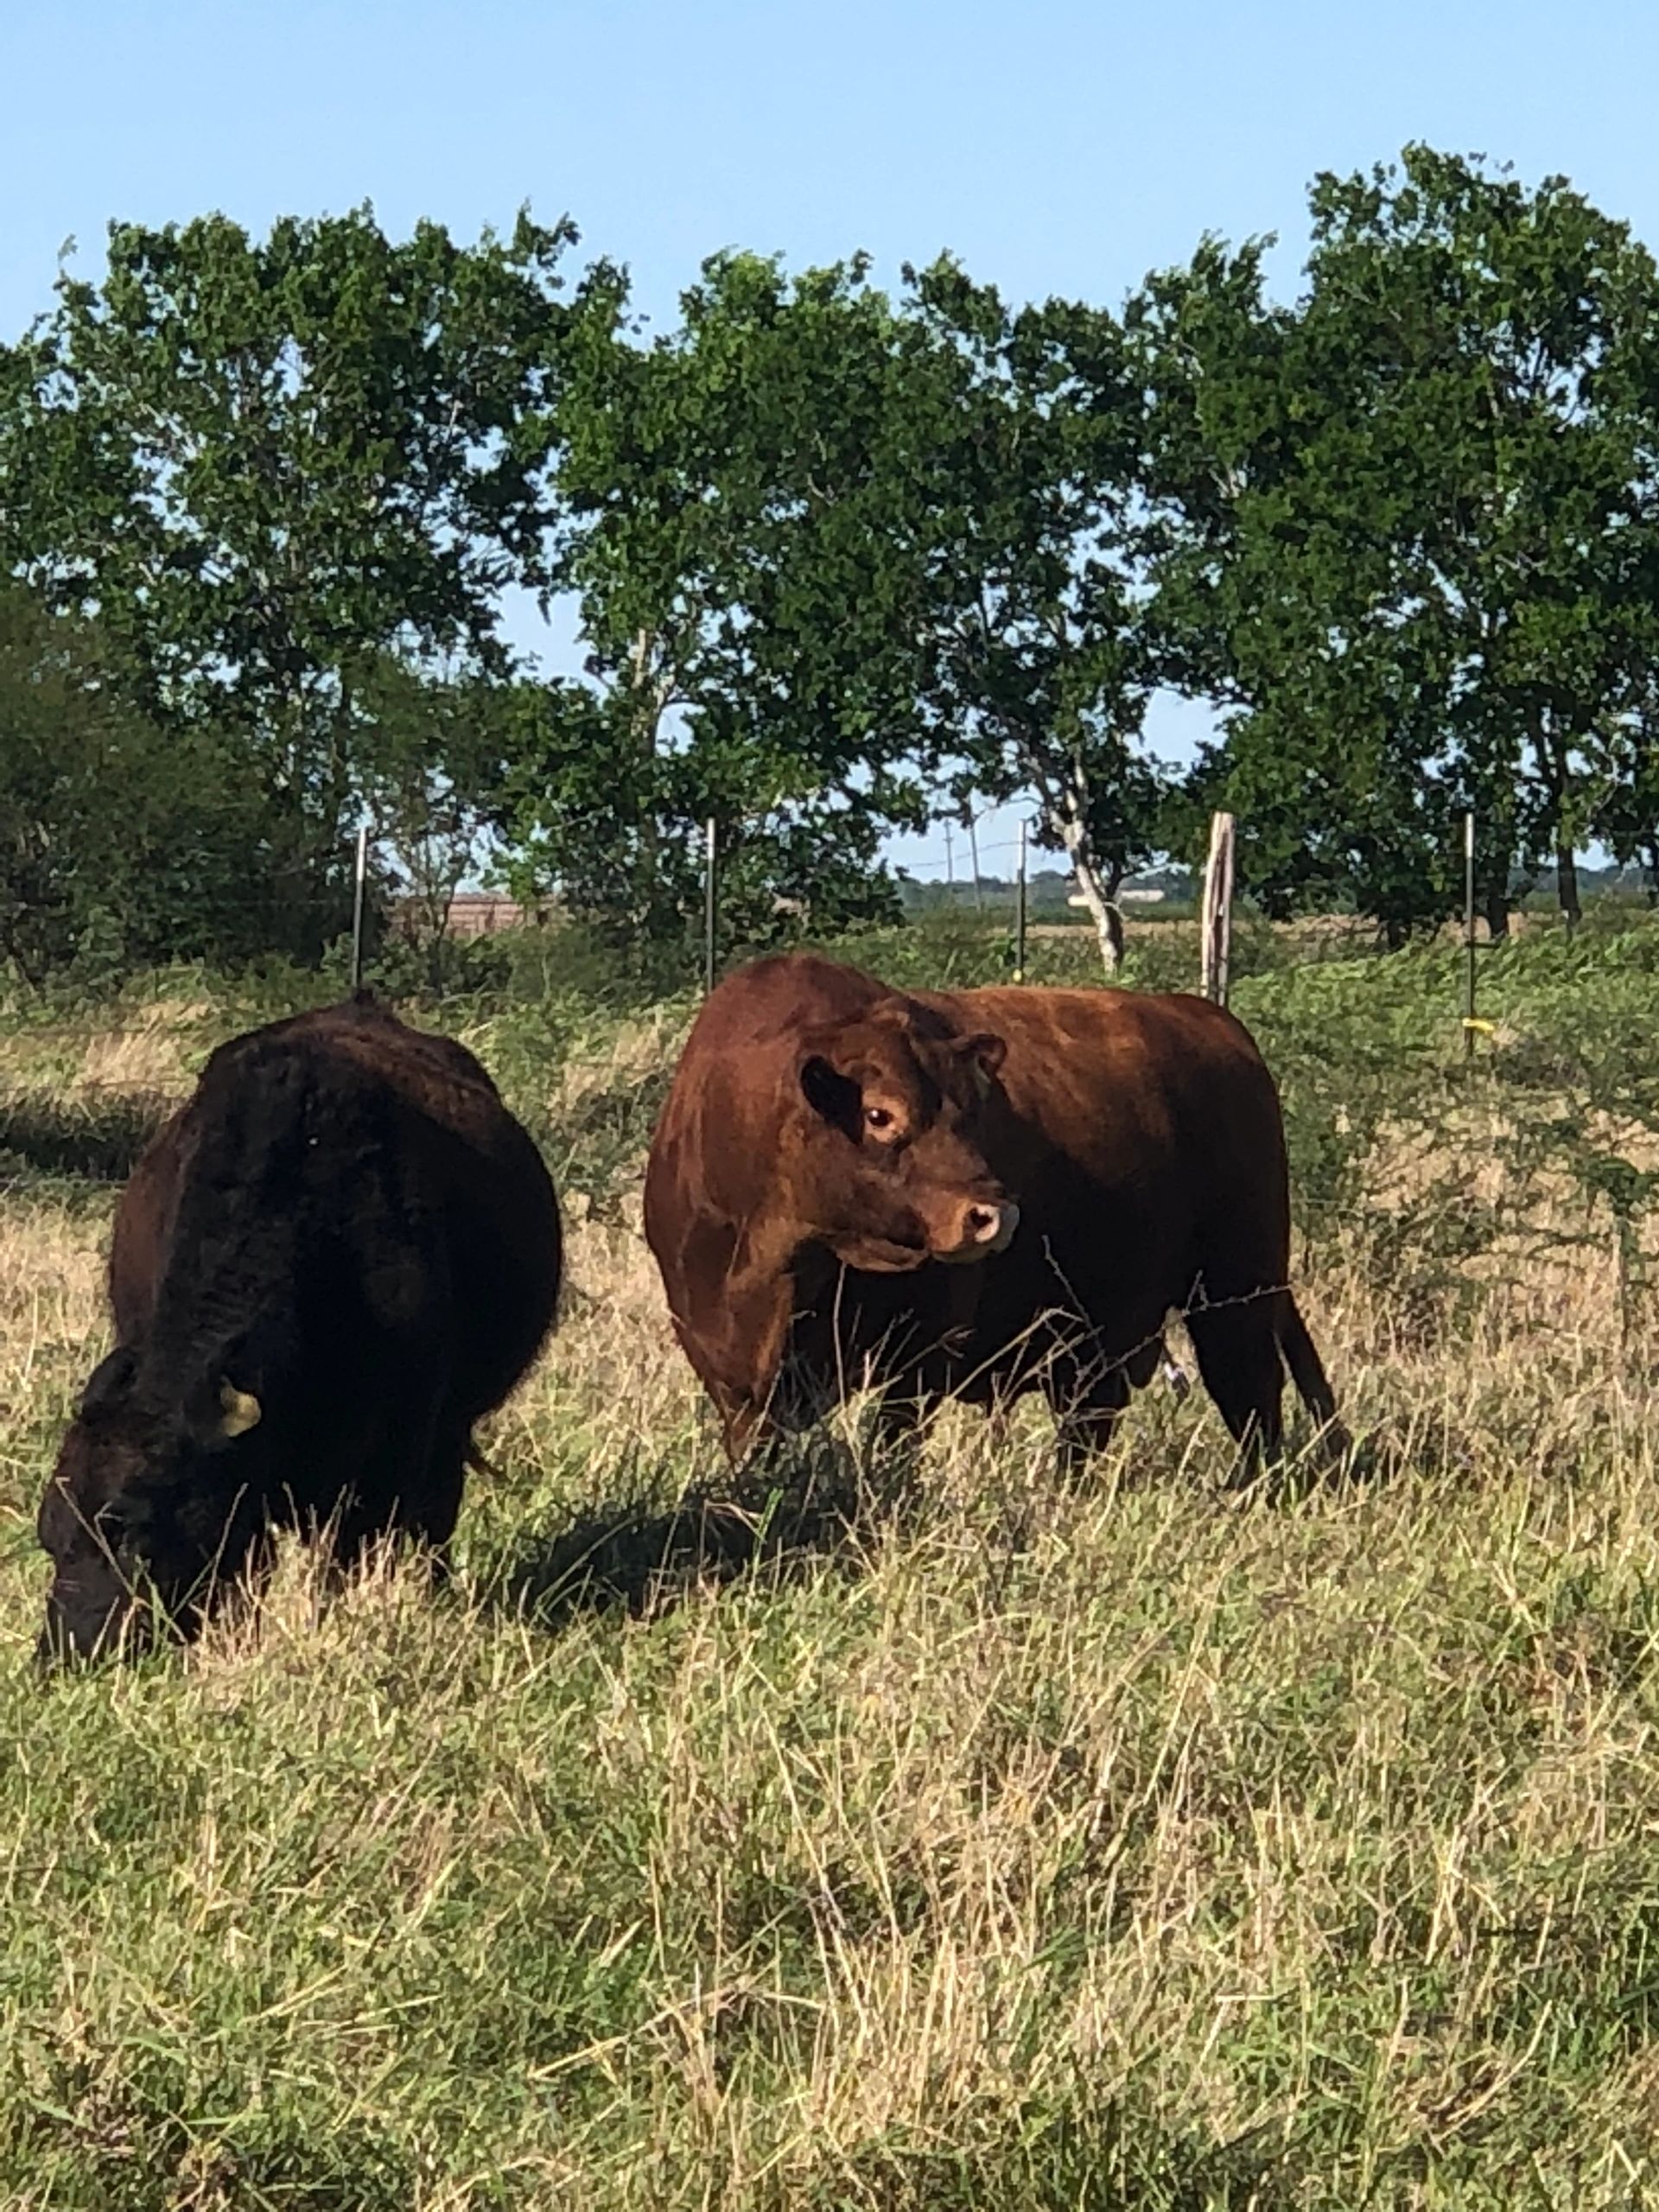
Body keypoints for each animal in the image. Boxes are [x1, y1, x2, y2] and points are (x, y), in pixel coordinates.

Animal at [643, 952, 1339, 1473]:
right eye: (879, 1114)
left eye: (975, 1107)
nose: (992, 1215)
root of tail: (1208, 1018)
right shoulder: (727, 1375)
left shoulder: (918, 1358)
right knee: (1093, 1419)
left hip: (1238, 1288)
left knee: (1248, 1393)